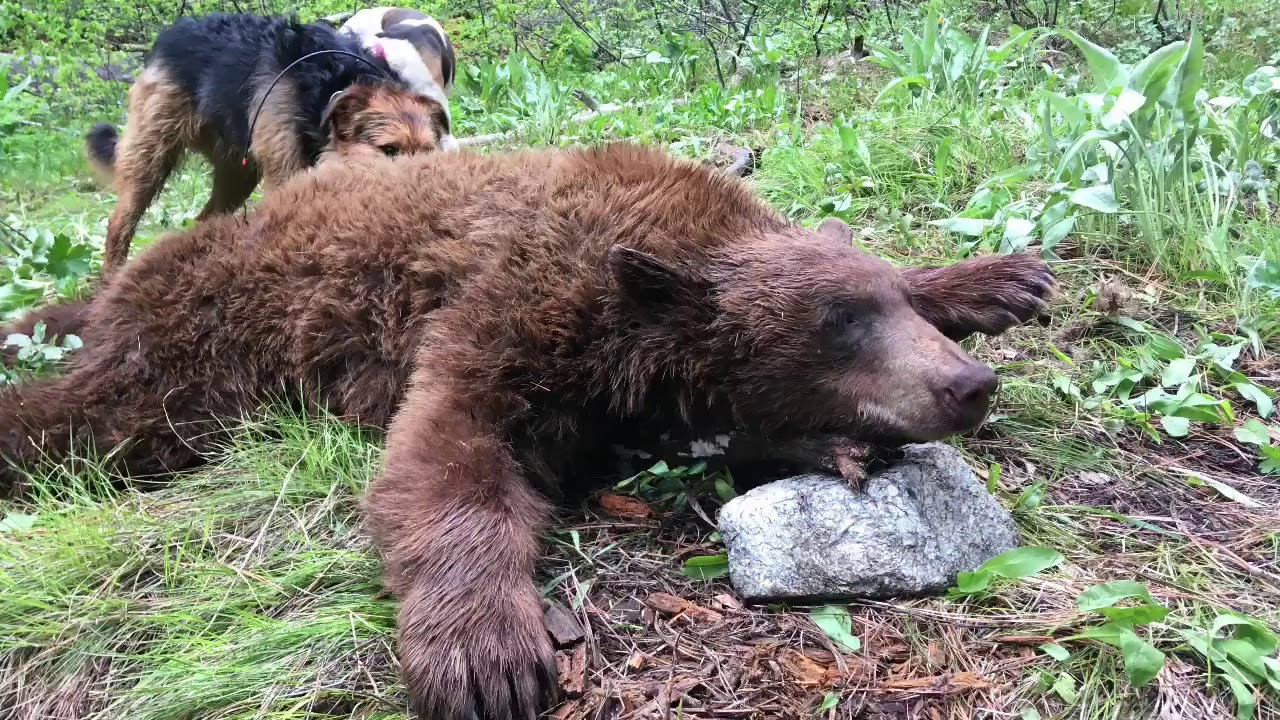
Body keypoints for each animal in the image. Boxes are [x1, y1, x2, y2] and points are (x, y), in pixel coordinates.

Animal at [0, 143, 1053, 718]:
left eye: (879, 304)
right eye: (841, 324)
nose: (968, 386)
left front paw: (993, 279)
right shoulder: (504, 309)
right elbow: (446, 453)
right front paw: (483, 652)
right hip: (189, 352)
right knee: (89, 417)